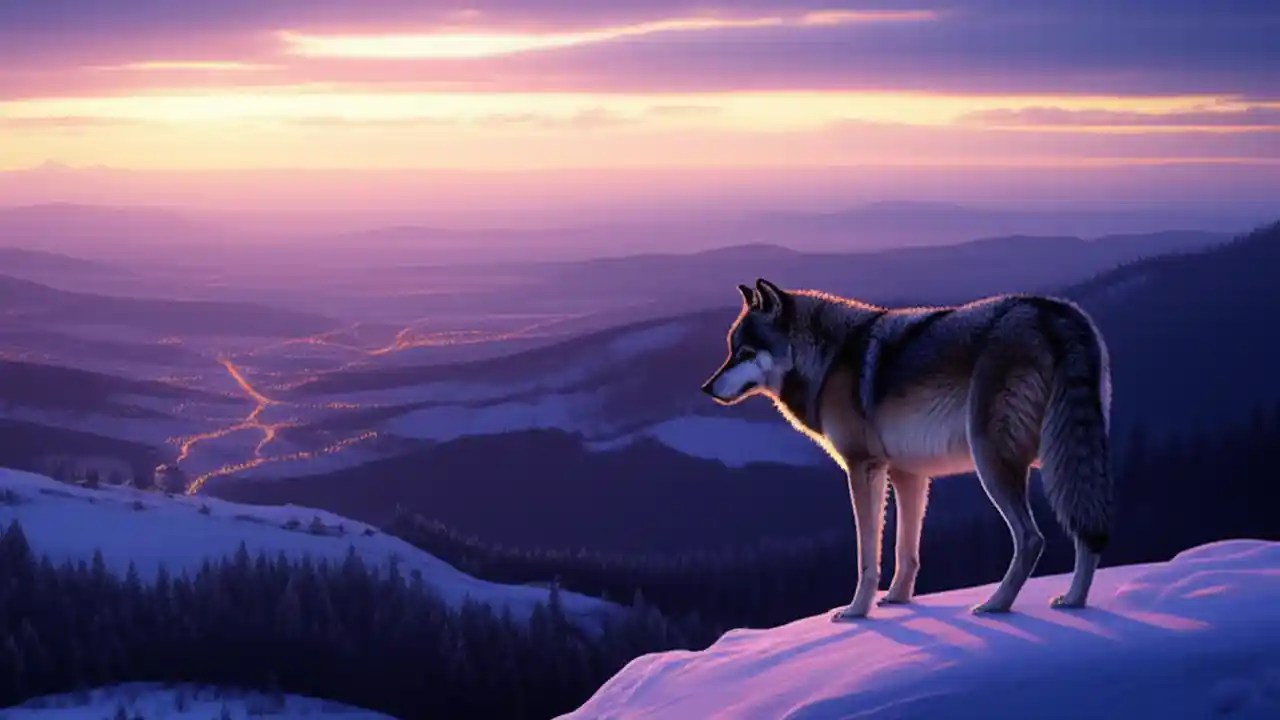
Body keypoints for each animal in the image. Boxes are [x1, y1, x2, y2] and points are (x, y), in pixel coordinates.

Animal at [701, 279, 1112, 619]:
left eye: (745, 353)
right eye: (730, 351)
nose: (706, 388)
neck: (828, 361)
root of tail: (1055, 313)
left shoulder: (862, 467)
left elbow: (867, 556)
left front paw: (856, 611)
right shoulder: (909, 474)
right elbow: (907, 551)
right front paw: (898, 600)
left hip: (996, 462)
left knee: (1031, 538)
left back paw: (996, 605)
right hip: (1062, 455)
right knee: (1085, 527)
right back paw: (1074, 601)